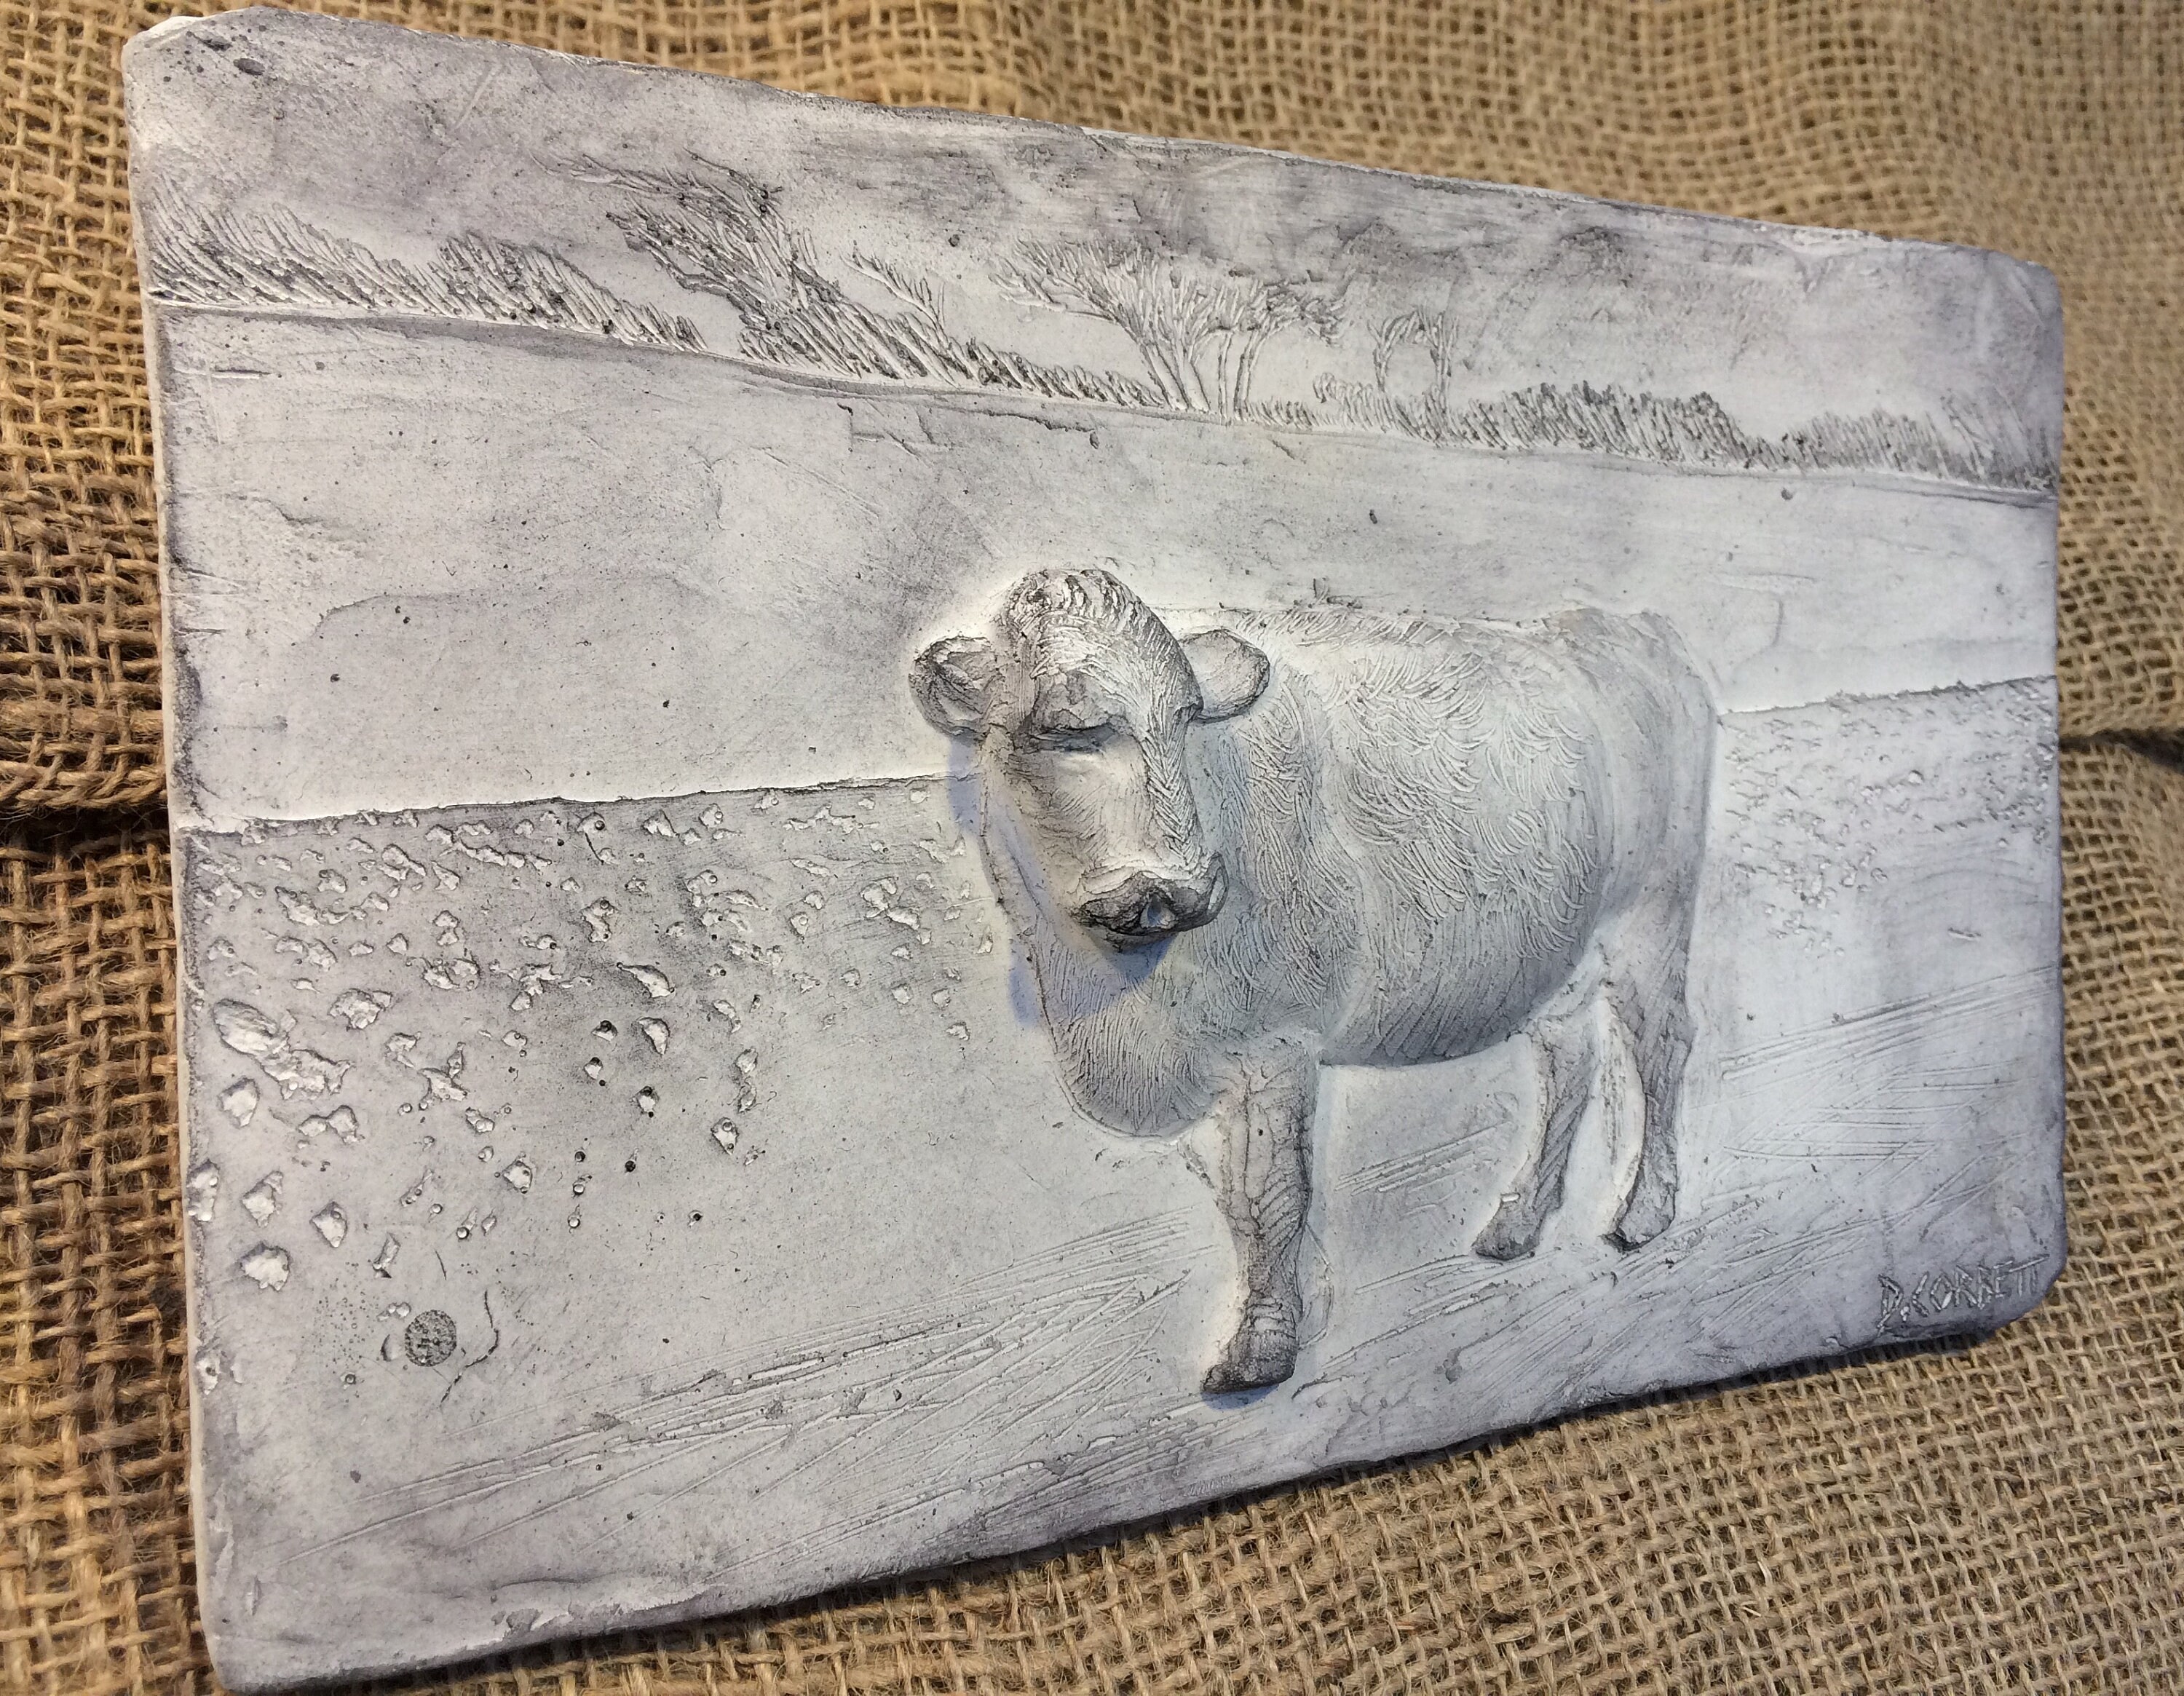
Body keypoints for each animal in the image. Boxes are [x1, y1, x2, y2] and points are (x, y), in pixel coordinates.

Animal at [910, 567, 1714, 1393]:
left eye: (1186, 720)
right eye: (1067, 731)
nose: (1180, 892)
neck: (1111, 1004)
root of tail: (1624, 626)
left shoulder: (1279, 1046)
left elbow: (1273, 1195)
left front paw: (1262, 1352)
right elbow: (1237, 1204)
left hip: (1652, 916)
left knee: (1660, 1047)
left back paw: (1644, 1213)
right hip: (1561, 957)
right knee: (1570, 1064)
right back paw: (1518, 1224)